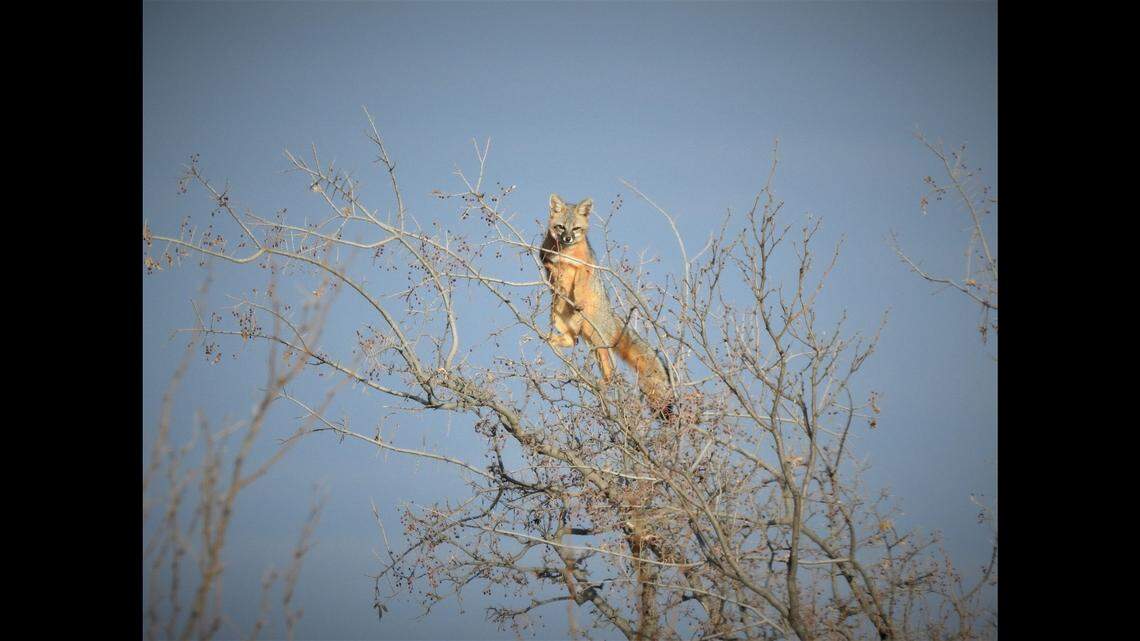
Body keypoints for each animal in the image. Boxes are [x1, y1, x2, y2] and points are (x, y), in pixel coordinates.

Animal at [540, 193, 674, 419]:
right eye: (560, 227)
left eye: (576, 229)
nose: (567, 238)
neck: (566, 253)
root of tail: (610, 315)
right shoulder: (542, 256)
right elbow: (550, 266)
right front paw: (557, 278)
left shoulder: (585, 268)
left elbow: (579, 283)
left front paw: (578, 298)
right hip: (557, 315)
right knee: (572, 340)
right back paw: (554, 338)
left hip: (599, 343)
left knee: (609, 370)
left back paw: (604, 384)